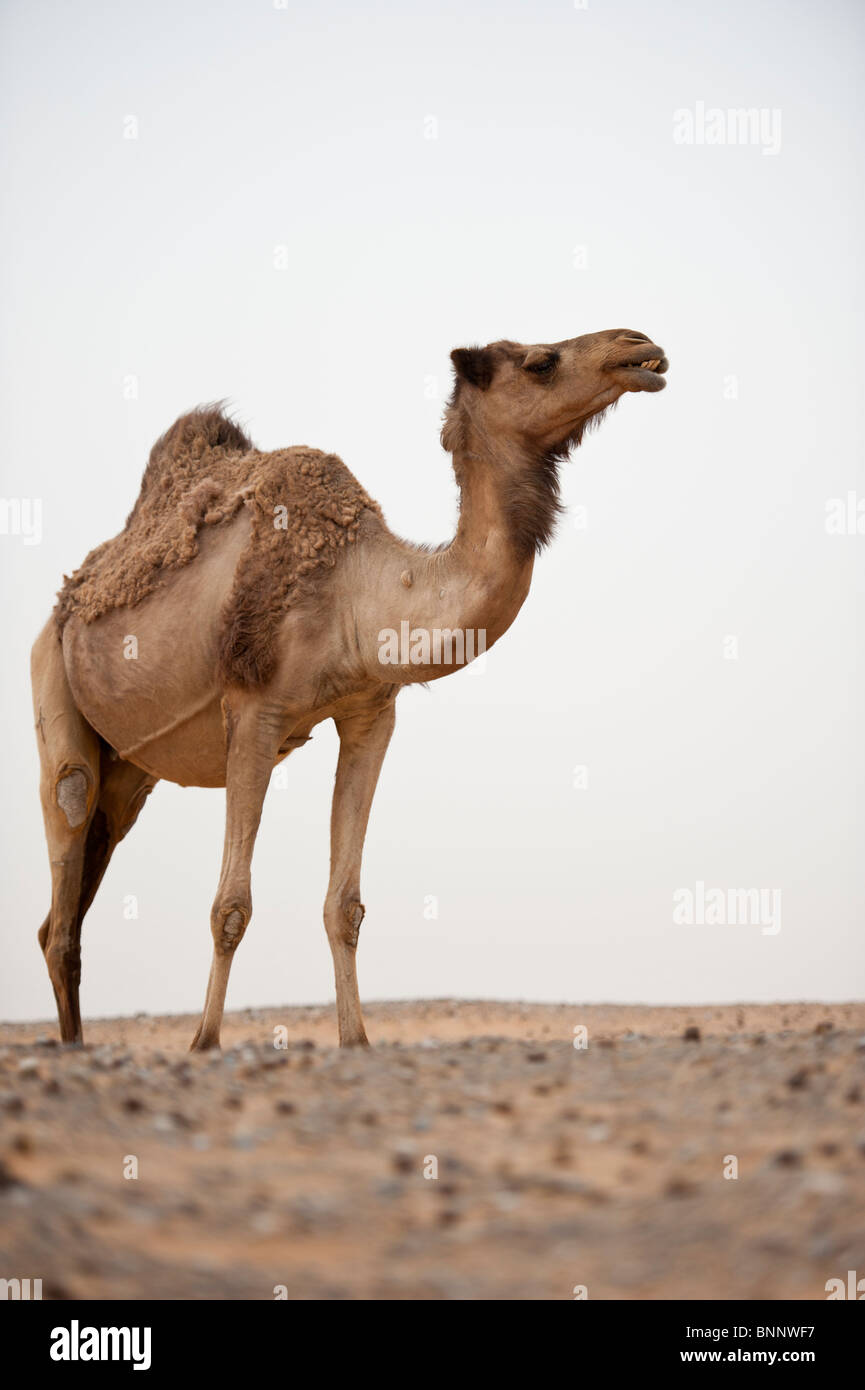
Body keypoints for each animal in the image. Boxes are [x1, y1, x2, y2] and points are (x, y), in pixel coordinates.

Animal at [31, 328, 668, 1050]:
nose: (639, 348)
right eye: (540, 362)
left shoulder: (369, 713)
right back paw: (73, 1045)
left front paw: (355, 1041)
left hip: (131, 774)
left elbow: (345, 904)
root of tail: (65, 604)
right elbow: (231, 905)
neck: (358, 591)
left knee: (81, 879)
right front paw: (204, 1044)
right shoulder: (253, 707)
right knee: (67, 836)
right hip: (51, 678)